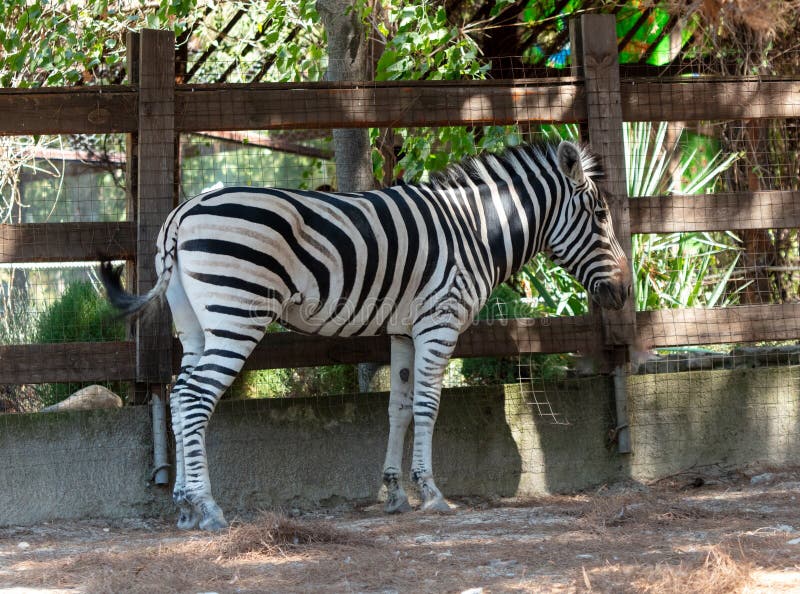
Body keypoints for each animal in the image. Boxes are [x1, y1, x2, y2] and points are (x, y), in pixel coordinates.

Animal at [100, 139, 630, 531]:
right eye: (602, 217)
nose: (625, 292)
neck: (476, 231)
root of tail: (181, 212)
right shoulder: (438, 320)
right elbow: (427, 406)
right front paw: (431, 493)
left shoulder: (403, 330)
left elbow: (398, 408)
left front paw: (394, 493)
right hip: (238, 315)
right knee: (194, 398)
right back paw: (207, 508)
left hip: (195, 324)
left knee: (179, 394)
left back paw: (185, 505)